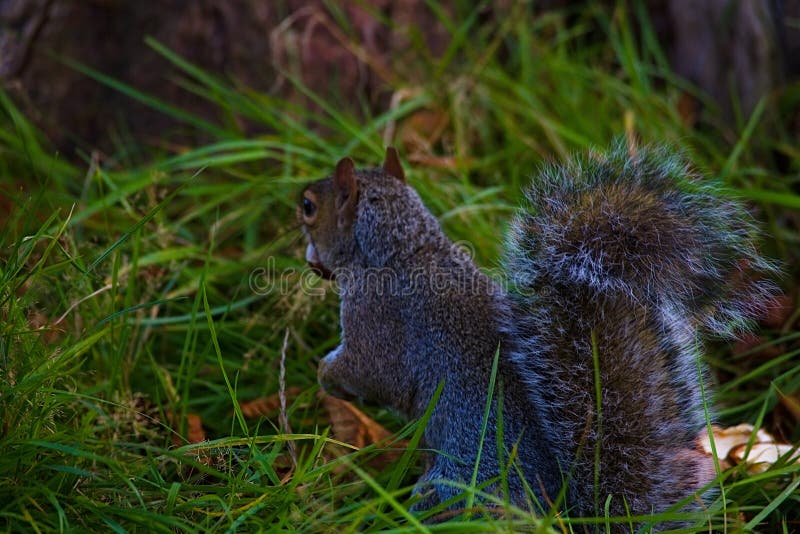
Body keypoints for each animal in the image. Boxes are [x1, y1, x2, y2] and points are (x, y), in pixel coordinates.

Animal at [297, 142, 777, 528]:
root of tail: (565, 514)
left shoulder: (376, 318)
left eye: (308, 206)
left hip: (455, 491)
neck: (406, 246)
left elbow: (371, 372)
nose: (295, 199)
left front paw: (324, 374)